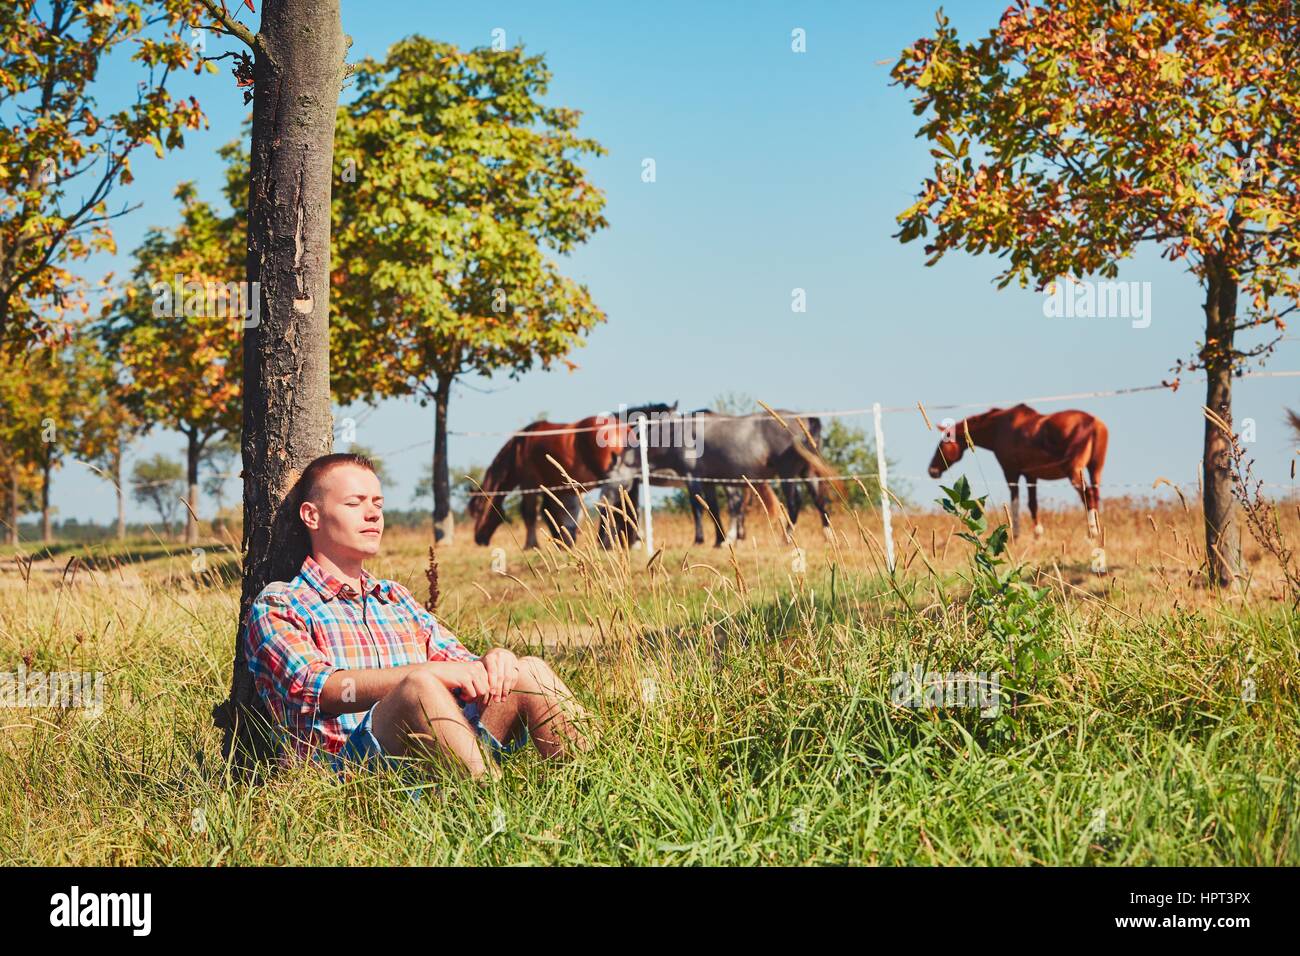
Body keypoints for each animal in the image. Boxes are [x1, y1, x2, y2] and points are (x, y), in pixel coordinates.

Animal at [470, 415, 633, 548]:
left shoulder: (529, 482)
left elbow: (530, 513)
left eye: (478, 512)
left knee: (609, 505)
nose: (478, 539)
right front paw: (563, 542)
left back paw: (606, 542)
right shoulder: (552, 486)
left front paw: (531, 545)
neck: (520, 448)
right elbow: (553, 513)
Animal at [598, 405, 842, 547]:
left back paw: (787, 538)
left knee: (794, 502)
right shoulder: (710, 481)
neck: (676, 434)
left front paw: (699, 539)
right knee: (819, 500)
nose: (602, 500)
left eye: (609, 482)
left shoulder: (693, 477)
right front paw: (719, 539)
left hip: (788, 473)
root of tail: (807, 420)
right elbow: (713, 508)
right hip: (807, 471)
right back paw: (828, 536)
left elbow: (698, 508)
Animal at [927, 404, 1109, 538]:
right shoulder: (1031, 474)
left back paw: (1092, 532)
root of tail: (1093, 422)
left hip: (1074, 471)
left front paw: (1015, 533)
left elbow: (1015, 502)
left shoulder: (1011, 472)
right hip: (1095, 470)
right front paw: (1037, 533)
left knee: (1088, 495)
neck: (999, 428)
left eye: (943, 444)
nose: (932, 471)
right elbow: (1032, 504)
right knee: (1095, 494)